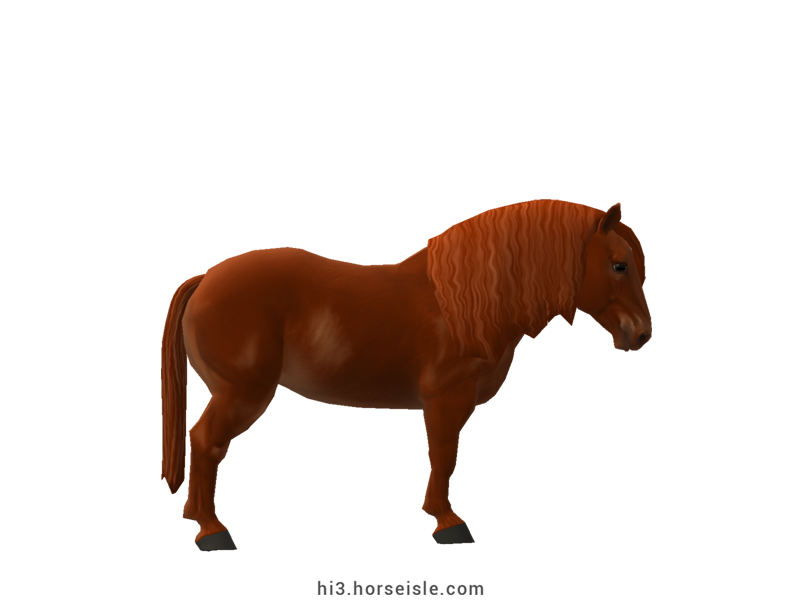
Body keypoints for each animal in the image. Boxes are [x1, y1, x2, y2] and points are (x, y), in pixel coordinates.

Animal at [161, 200, 651, 540]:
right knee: (205, 443)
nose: (641, 334)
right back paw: (211, 529)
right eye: (619, 264)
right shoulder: (446, 398)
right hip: (240, 392)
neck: (461, 304)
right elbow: (445, 455)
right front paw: (446, 520)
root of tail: (206, 279)